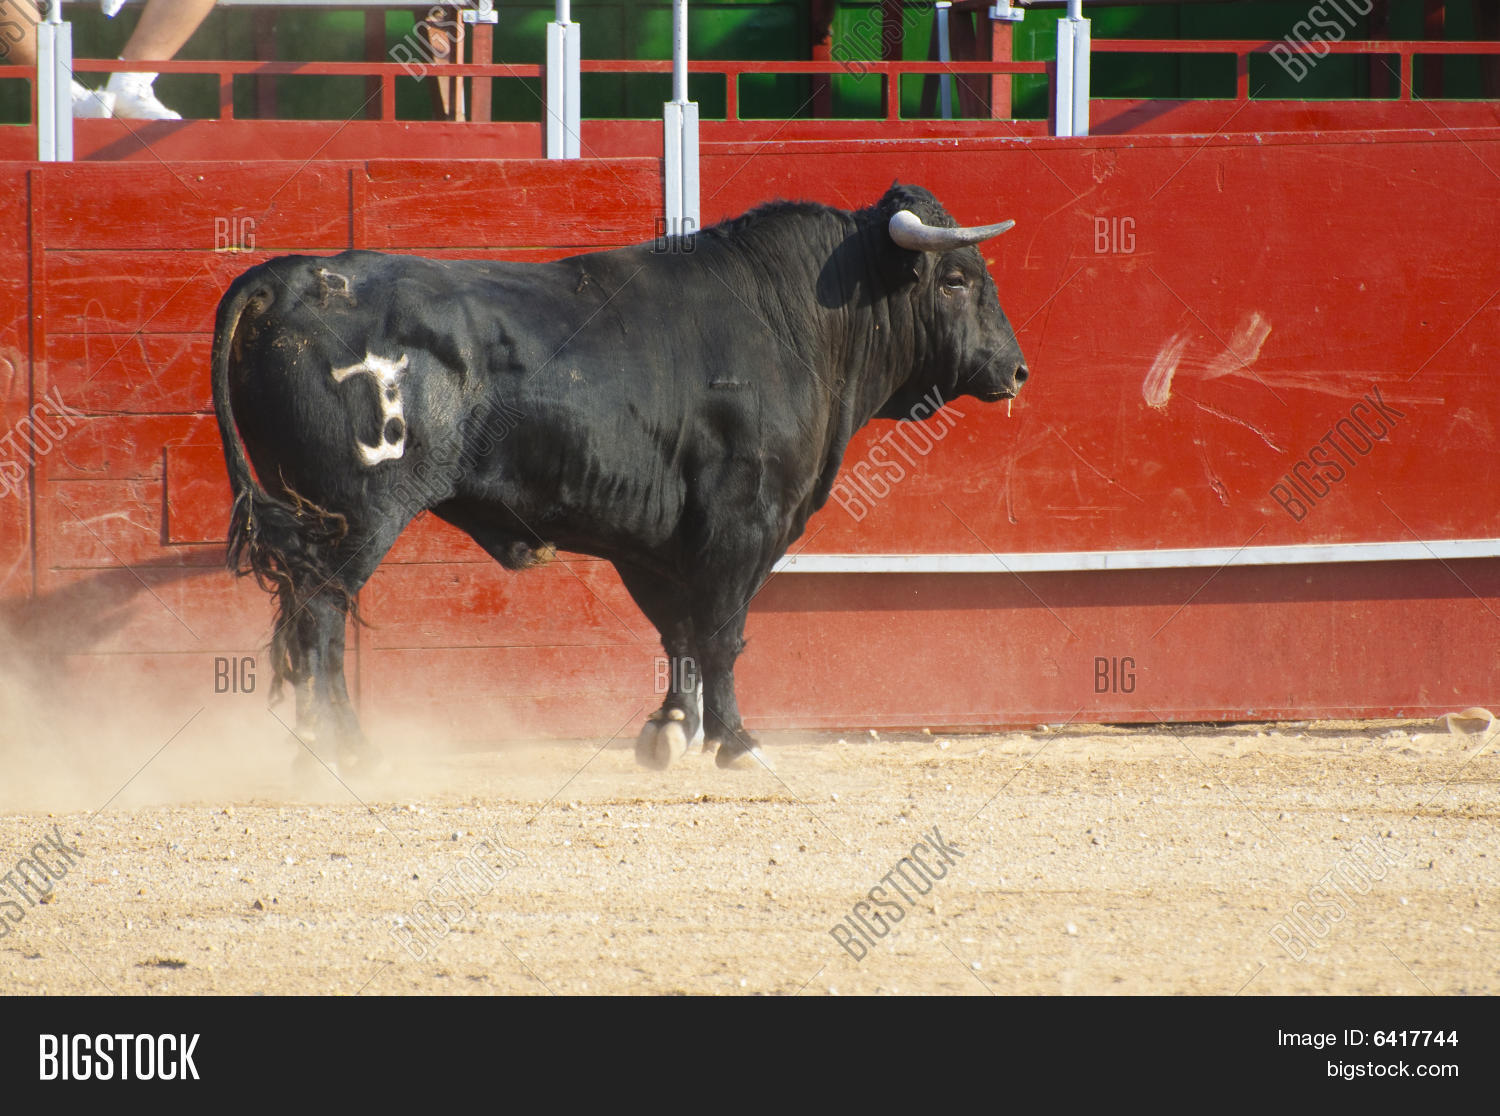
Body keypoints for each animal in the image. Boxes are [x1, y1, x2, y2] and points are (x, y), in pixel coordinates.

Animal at [211, 183, 1027, 775]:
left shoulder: (654, 538)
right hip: (355, 514)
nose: (1017, 369)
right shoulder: (744, 520)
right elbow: (722, 631)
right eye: (957, 280)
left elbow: (678, 629)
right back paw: (348, 749)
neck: (795, 319)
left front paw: (670, 729)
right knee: (323, 620)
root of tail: (285, 278)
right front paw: (737, 742)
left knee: (306, 621)